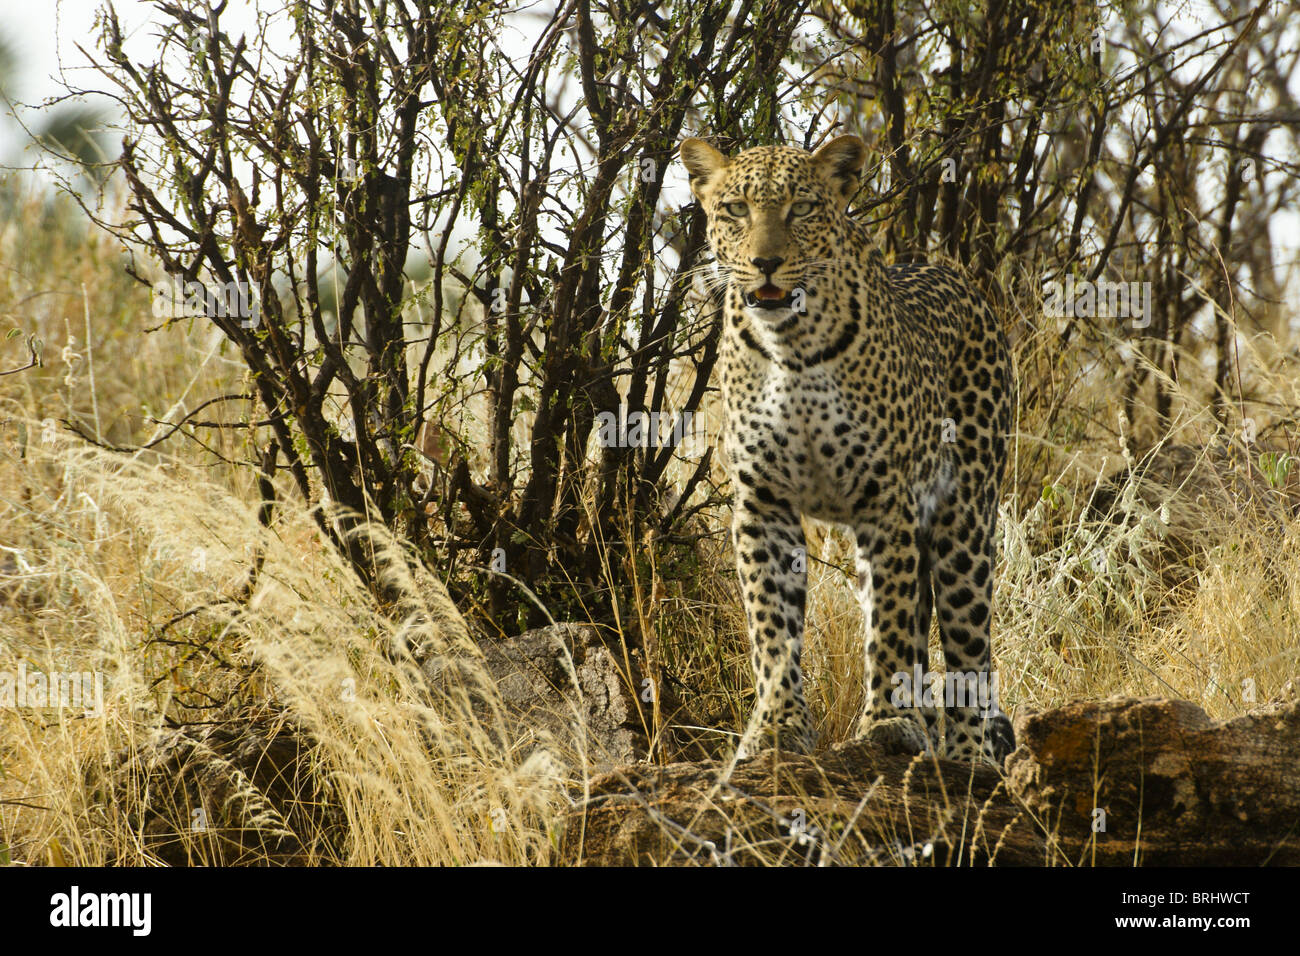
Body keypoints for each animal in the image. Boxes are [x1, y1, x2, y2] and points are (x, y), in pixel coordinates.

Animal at [679, 134, 1015, 765]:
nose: (765, 263)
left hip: (965, 519)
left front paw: (887, 723)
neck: (791, 345)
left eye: (802, 208)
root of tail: (964, 285)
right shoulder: (764, 503)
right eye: (735, 209)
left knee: (968, 642)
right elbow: (771, 625)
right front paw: (776, 727)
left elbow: (890, 627)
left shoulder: (886, 503)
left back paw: (966, 757)